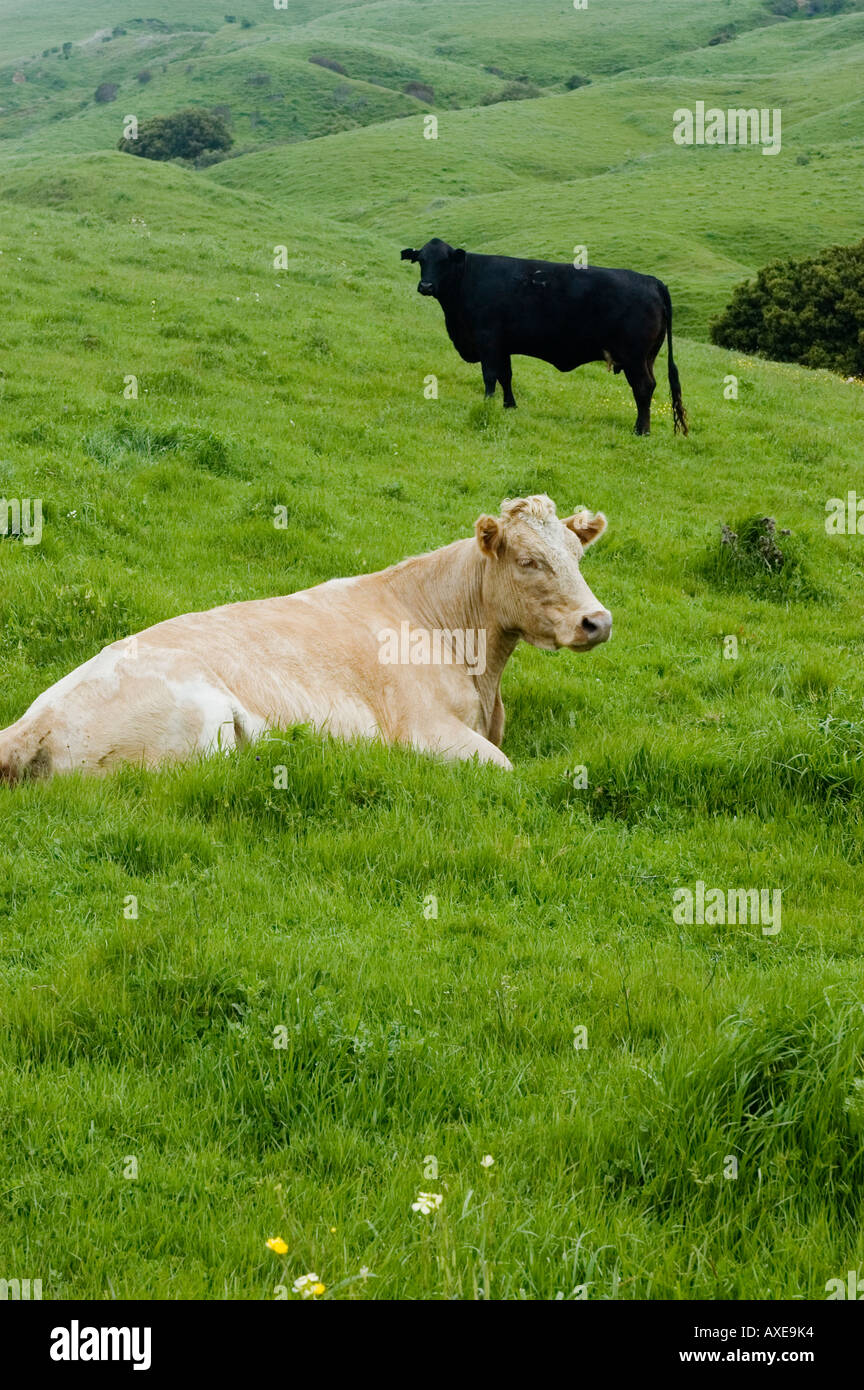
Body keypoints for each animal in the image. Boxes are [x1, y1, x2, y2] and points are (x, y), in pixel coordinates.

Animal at [0, 495, 610, 780]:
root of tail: (32, 722)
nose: (597, 621)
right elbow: (506, 771)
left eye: (577, 555)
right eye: (530, 561)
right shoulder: (426, 732)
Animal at [401, 238, 688, 435]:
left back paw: (641, 430)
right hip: (647, 357)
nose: (425, 286)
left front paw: (487, 404)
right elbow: (506, 376)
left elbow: (490, 376)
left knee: (643, 387)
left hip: (634, 357)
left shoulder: (487, 339)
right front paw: (509, 406)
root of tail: (652, 281)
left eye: (444, 262)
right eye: (421, 260)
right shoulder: (502, 345)